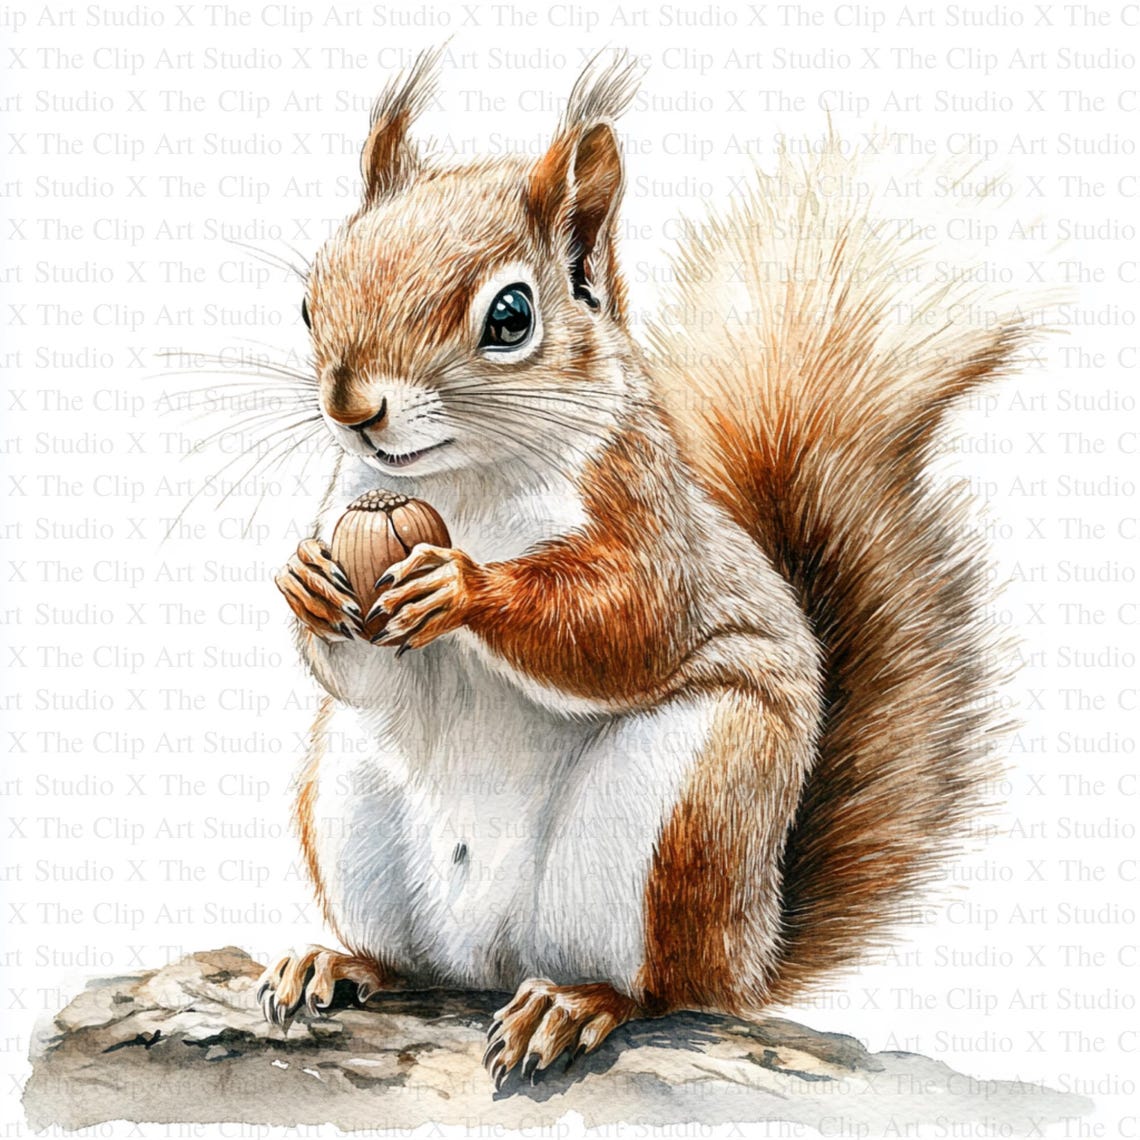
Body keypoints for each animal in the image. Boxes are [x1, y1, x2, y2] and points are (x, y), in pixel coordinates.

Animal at [256, 49, 1030, 1088]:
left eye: (511, 316)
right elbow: (358, 667)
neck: (461, 481)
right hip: (348, 800)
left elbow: (623, 627)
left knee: (664, 987)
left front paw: (464, 585)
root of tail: (753, 949)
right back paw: (339, 963)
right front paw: (304, 580)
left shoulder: (652, 522)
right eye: (311, 299)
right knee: (416, 961)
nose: (352, 408)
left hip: (684, 813)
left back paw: (575, 1003)